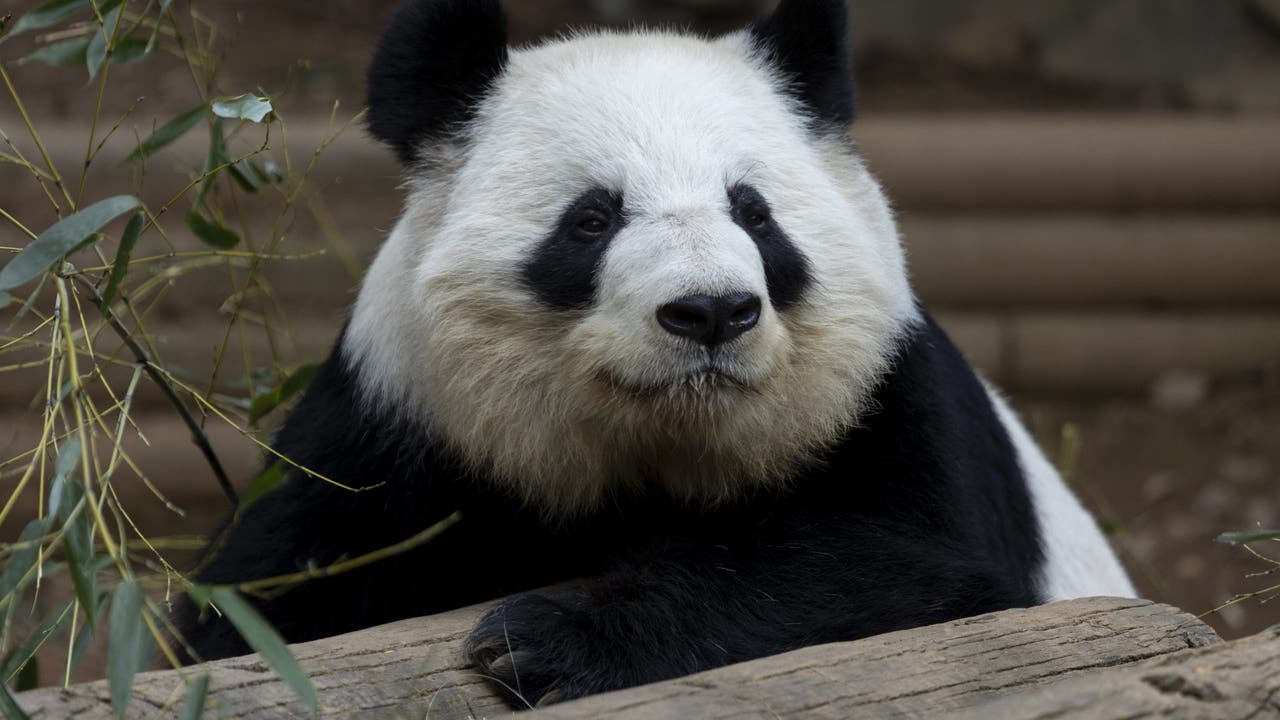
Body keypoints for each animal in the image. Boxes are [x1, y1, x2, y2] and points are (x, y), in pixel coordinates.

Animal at [176, 0, 1136, 706]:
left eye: (754, 211)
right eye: (593, 218)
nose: (711, 312)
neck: (660, 443)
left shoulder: (884, 401)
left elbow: (909, 579)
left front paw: (548, 641)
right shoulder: (395, 425)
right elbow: (255, 603)